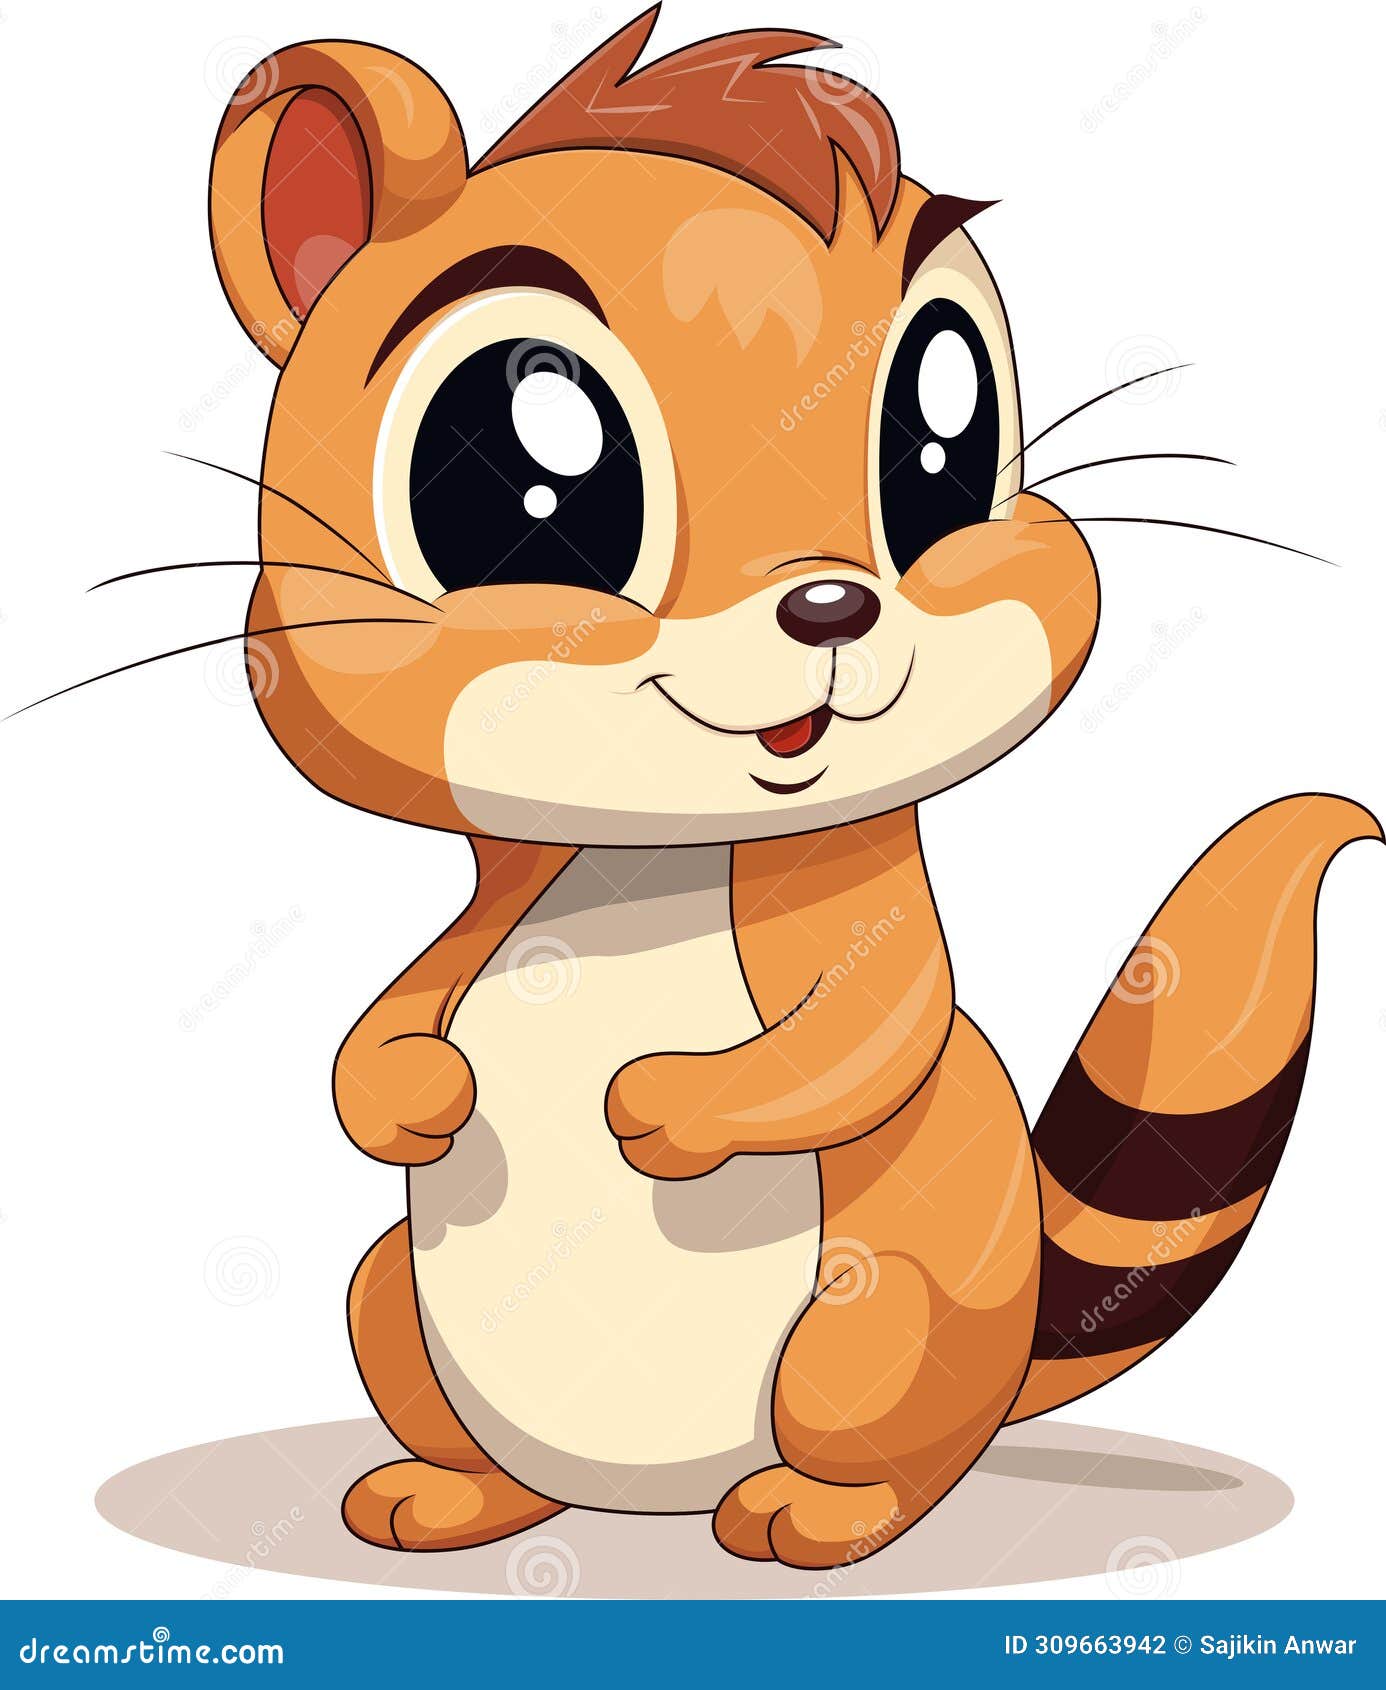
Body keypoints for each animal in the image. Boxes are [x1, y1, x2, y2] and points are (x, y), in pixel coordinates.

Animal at [202, 10, 1378, 1569]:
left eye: (942, 441)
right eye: (520, 480)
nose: (831, 604)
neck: (652, 859)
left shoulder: (869, 929)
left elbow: (873, 1034)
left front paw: (668, 1105)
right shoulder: (485, 915)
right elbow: (396, 1011)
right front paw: (410, 1091)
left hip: (864, 1330)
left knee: (890, 1453)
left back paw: (815, 1515)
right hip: (392, 1292)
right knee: (436, 1381)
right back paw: (454, 1494)